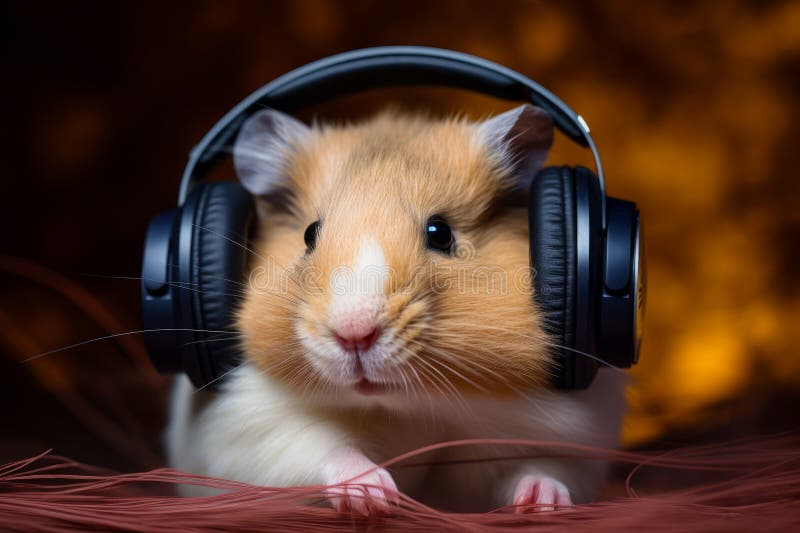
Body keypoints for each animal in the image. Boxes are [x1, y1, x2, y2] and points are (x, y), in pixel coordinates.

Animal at [166, 104, 626, 514]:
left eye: (441, 233)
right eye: (310, 234)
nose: (354, 334)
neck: (406, 405)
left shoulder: (564, 436)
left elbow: (540, 469)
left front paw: (541, 505)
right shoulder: (254, 429)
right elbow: (328, 450)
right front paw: (375, 496)